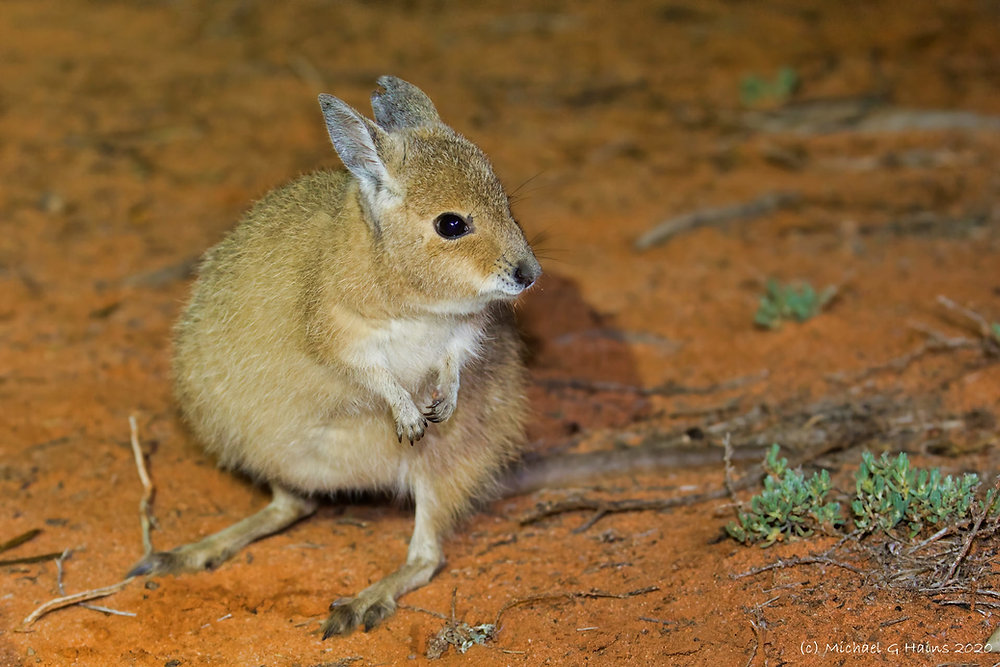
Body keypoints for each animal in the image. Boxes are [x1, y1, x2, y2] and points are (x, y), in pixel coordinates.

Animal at [128, 75, 541, 638]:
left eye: (508, 203)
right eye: (451, 225)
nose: (530, 274)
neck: (416, 299)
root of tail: (355, 481)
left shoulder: (464, 333)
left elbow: (454, 362)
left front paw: (443, 402)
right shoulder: (335, 332)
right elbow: (371, 374)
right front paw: (408, 415)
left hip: (450, 464)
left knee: (424, 555)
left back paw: (363, 601)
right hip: (256, 441)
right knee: (295, 506)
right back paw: (192, 551)